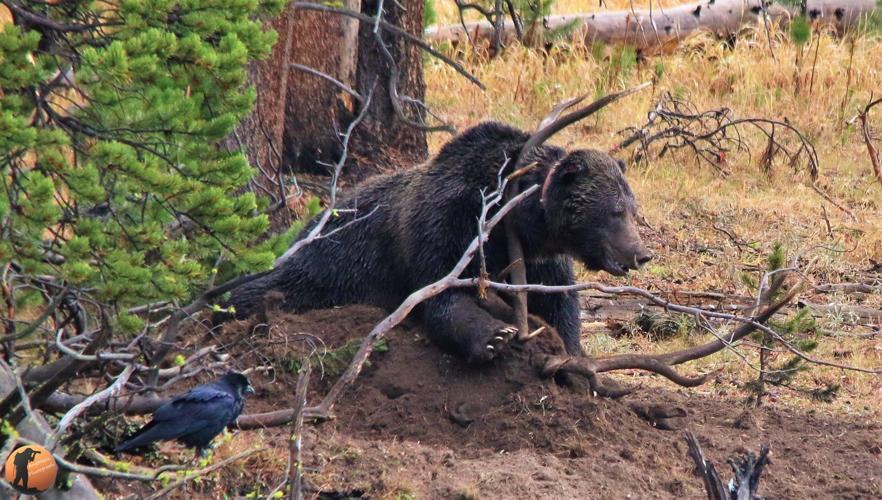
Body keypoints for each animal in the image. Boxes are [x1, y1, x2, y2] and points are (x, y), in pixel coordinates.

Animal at [221, 122, 651, 363]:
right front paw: (494, 336)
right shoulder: (449, 223)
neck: (511, 218)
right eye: (615, 211)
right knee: (267, 288)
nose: (642, 253)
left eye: (632, 208)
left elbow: (559, 305)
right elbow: (442, 296)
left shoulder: (538, 261)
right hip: (329, 265)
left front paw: (570, 349)